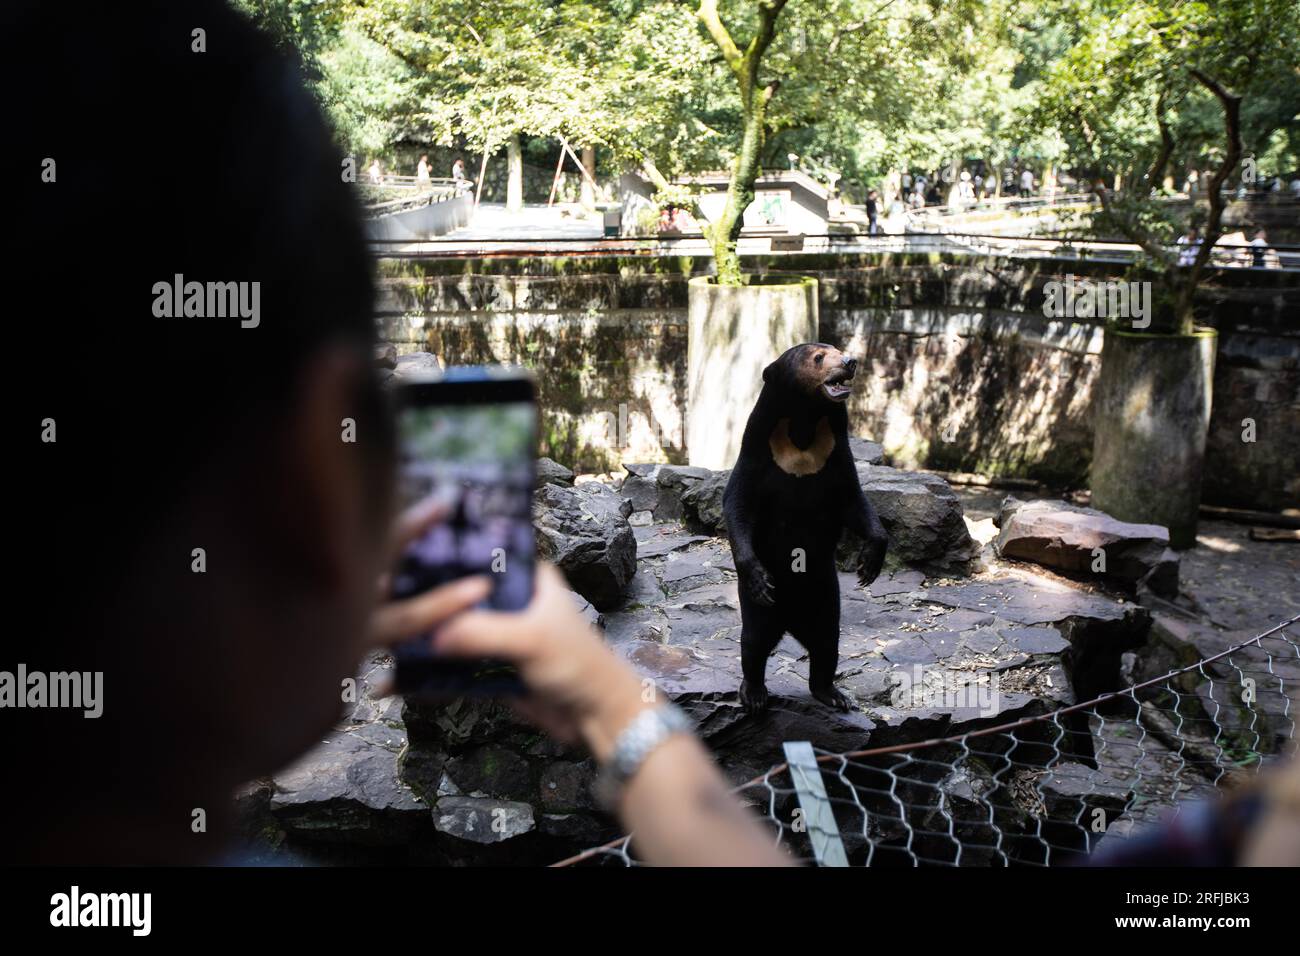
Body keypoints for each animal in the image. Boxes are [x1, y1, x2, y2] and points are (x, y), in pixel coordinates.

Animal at [722, 342, 888, 712]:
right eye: (818, 357)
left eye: (838, 350)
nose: (851, 361)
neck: (805, 420)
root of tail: (790, 621)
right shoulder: (759, 448)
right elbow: (738, 503)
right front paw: (757, 576)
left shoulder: (835, 453)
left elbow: (854, 501)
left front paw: (869, 565)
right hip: (763, 609)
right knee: (754, 640)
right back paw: (754, 693)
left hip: (824, 593)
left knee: (827, 641)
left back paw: (832, 693)